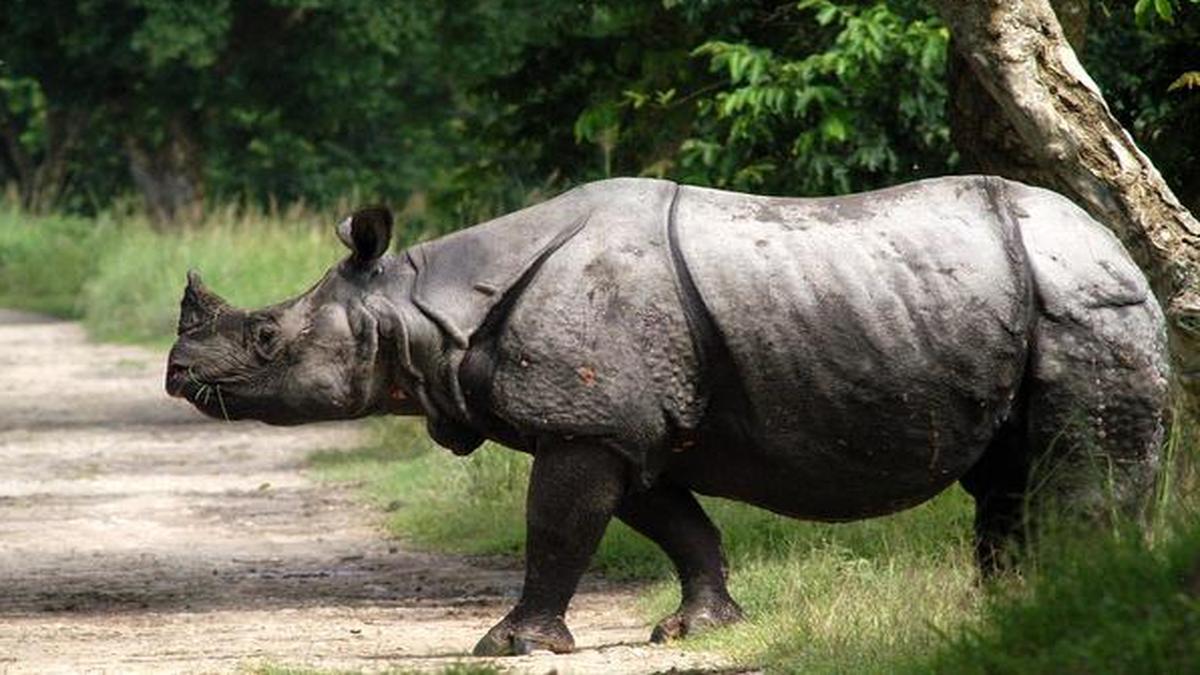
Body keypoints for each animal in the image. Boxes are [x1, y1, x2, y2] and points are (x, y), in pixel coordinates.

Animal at [166, 176, 1169, 656]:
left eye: (265, 338)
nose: (177, 374)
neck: (420, 301)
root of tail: (1116, 242)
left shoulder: (590, 421)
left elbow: (557, 529)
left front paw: (508, 644)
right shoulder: (625, 423)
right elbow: (678, 524)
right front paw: (702, 627)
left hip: (1083, 298)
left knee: (1079, 465)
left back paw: (1076, 603)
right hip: (1029, 295)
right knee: (1008, 478)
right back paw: (1011, 609)